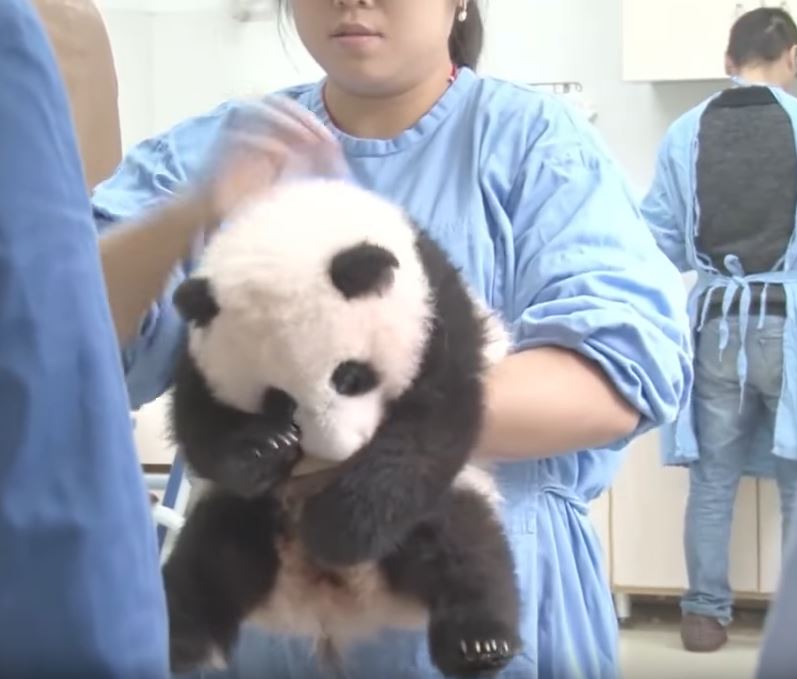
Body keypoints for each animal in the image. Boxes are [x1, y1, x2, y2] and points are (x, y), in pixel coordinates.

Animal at [163, 178, 522, 678]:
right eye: (278, 400)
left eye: (350, 376)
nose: (340, 450)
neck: (300, 213)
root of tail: (334, 604)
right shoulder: (198, 355)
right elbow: (198, 423)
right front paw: (263, 449)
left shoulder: (441, 317)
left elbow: (430, 428)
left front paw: (337, 529)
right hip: (243, 516)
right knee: (209, 560)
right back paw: (177, 637)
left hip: (452, 499)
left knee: (466, 547)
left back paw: (479, 644)